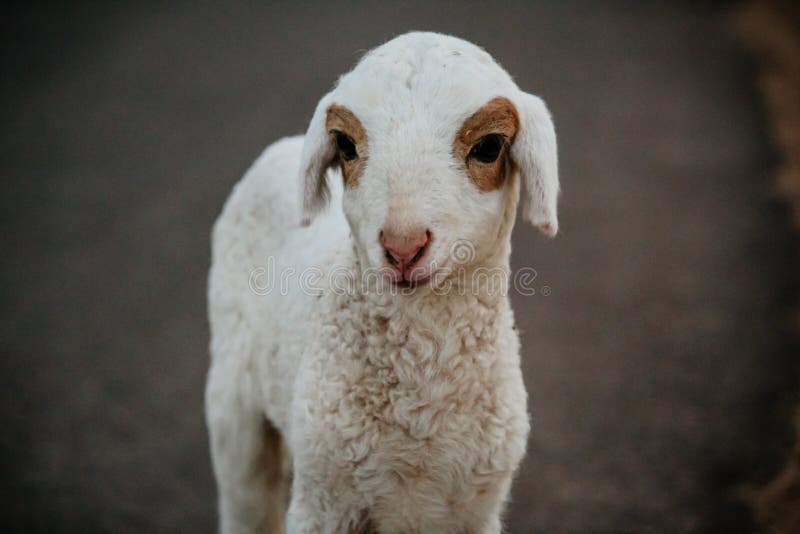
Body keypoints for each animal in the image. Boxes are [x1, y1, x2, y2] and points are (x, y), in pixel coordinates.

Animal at [205, 31, 559, 534]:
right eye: (346, 146)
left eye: (489, 147)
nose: (403, 247)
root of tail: (281, 147)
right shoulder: (323, 500)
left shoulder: (476, 505)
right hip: (232, 401)